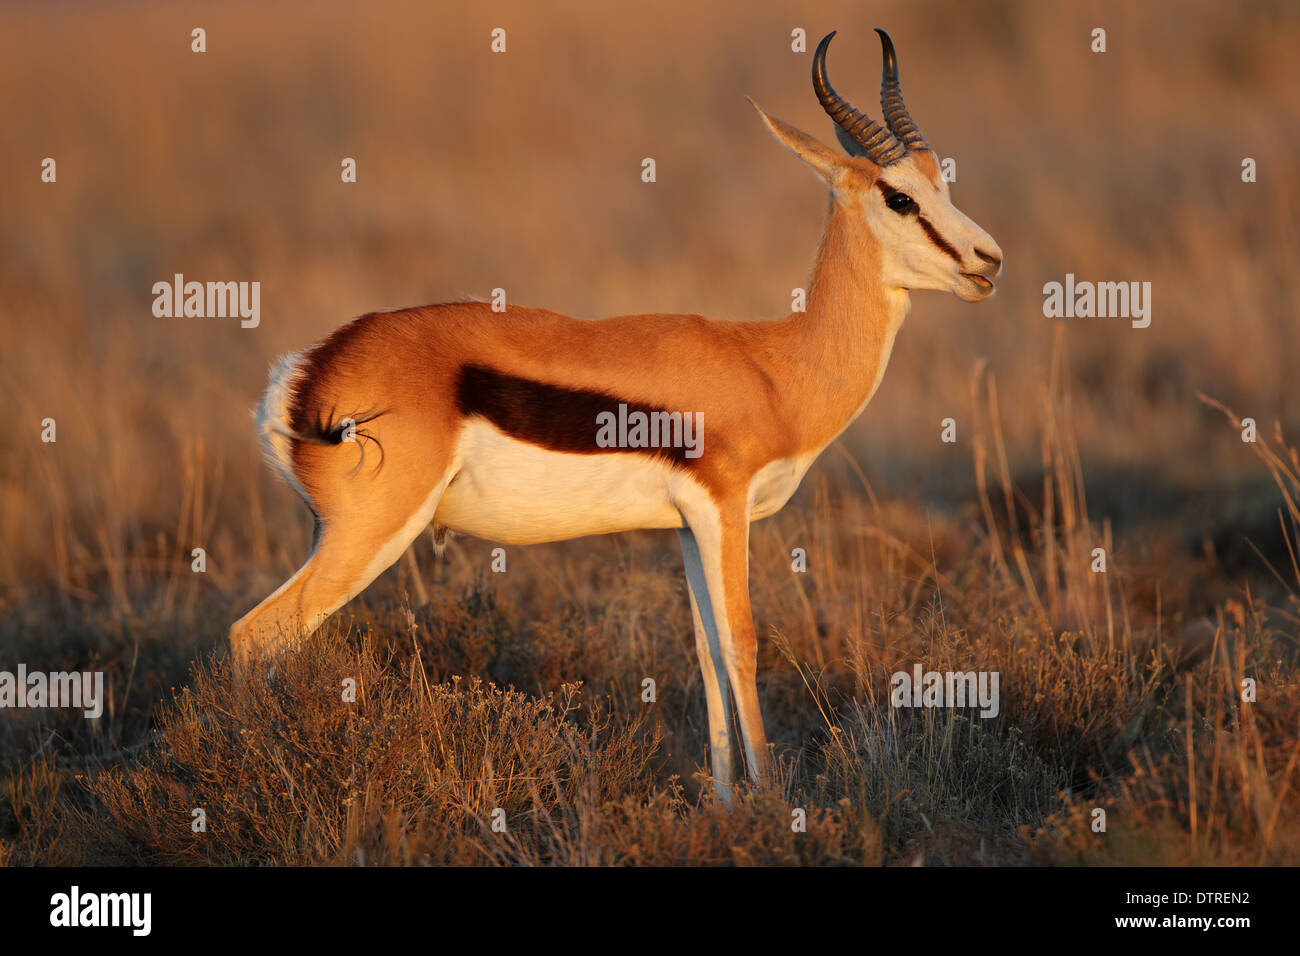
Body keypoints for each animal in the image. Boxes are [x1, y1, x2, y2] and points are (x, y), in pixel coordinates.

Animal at [230, 29, 1002, 796]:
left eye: (942, 182)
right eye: (899, 196)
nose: (988, 258)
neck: (772, 366)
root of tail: (310, 368)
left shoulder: (689, 525)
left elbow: (706, 650)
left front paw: (725, 804)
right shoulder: (724, 510)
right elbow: (743, 643)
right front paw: (770, 804)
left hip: (332, 533)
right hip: (372, 532)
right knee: (256, 636)